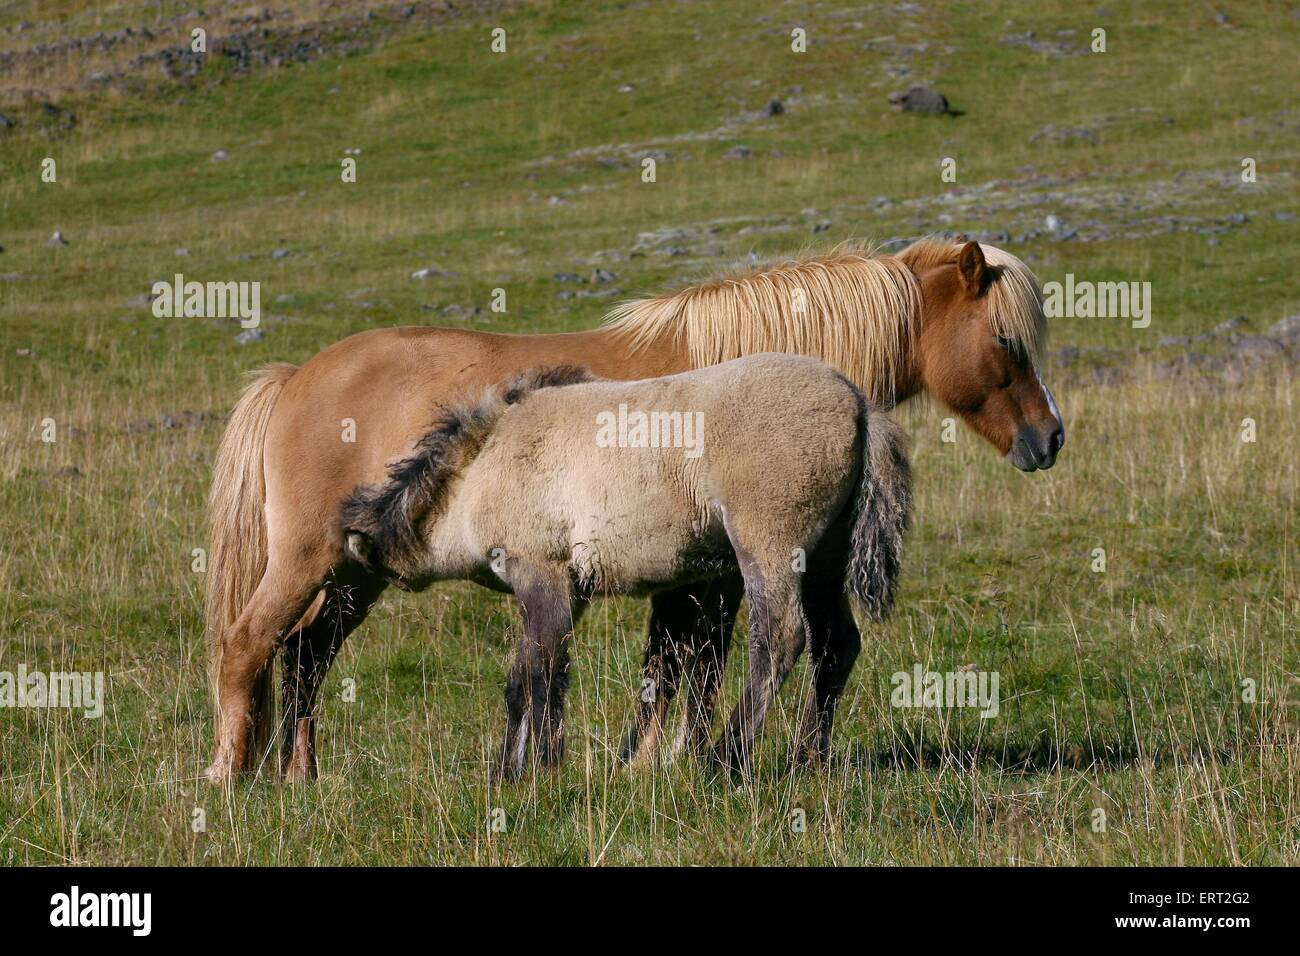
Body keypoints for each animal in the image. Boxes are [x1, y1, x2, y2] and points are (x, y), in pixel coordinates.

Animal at [338, 354, 913, 777]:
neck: (489, 464)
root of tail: (860, 404)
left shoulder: (542, 575)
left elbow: (541, 674)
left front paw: (540, 769)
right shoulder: (563, 590)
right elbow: (526, 678)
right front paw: (508, 771)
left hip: (768, 545)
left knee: (780, 638)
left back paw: (724, 760)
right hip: (825, 557)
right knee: (835, 643)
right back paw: (806, 758)